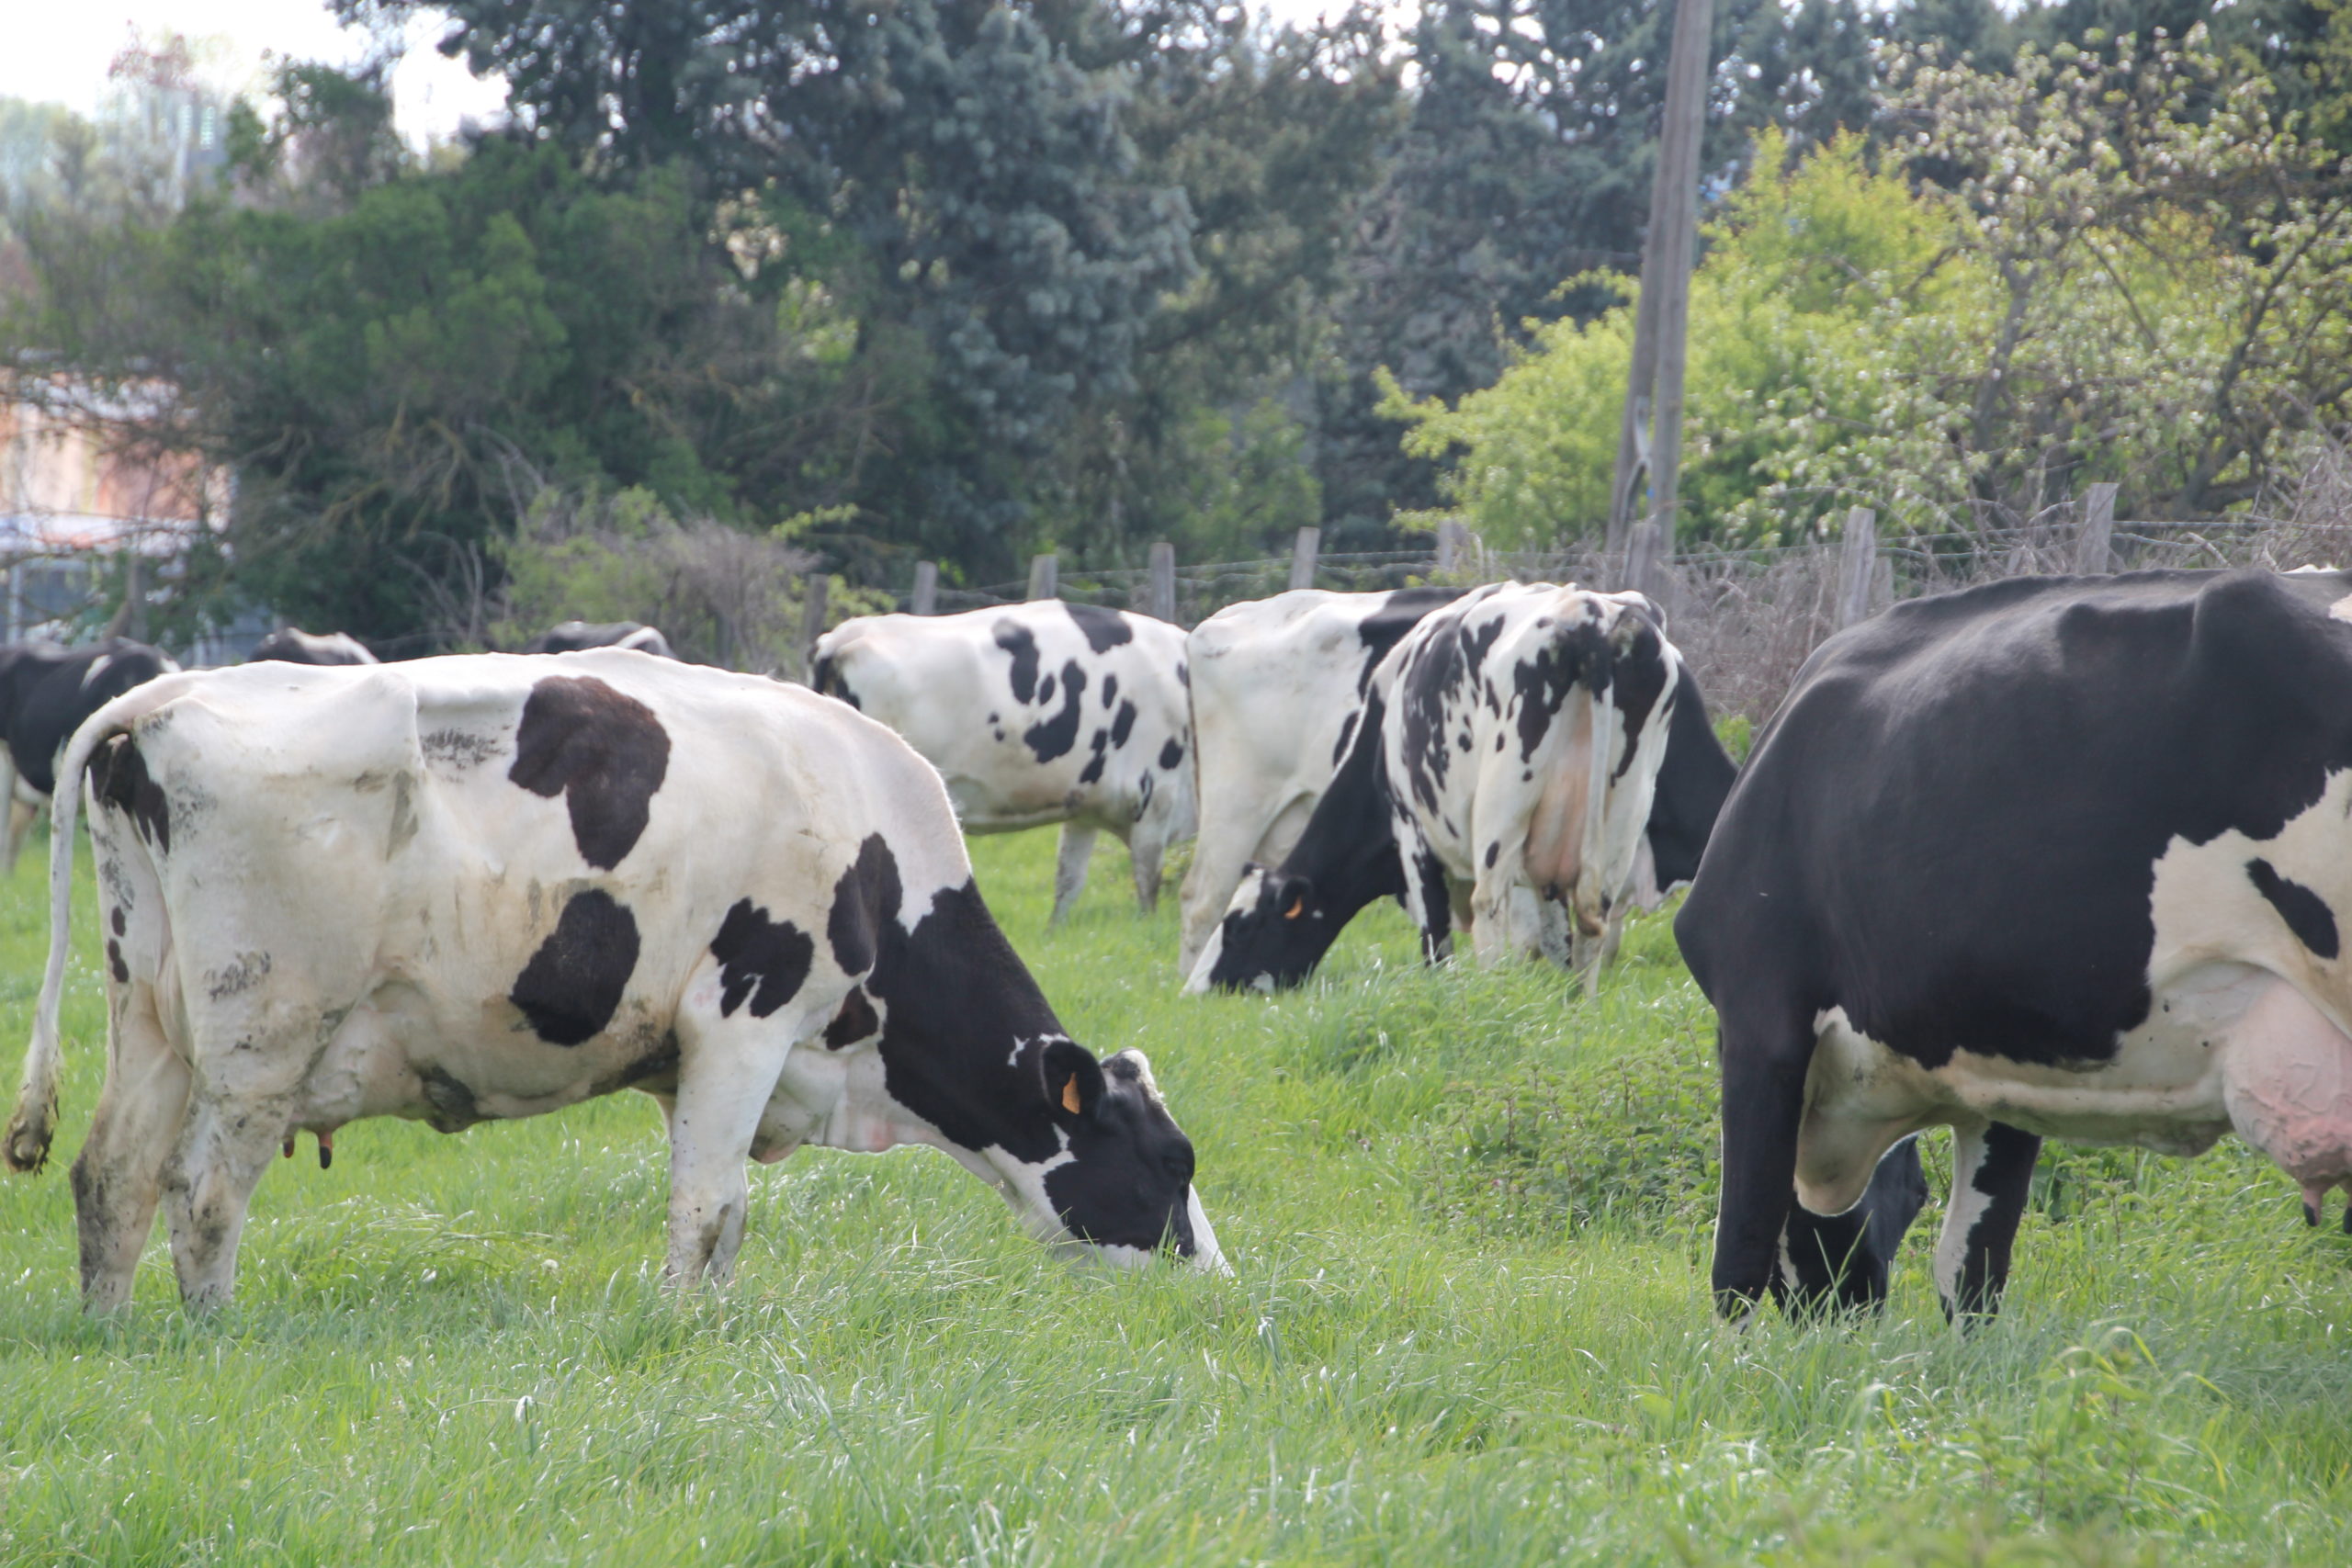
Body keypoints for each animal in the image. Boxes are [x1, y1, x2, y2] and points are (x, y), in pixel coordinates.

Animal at [813, 602, 1198, 924]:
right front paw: (1146, 925)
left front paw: (1054, 931)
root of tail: (849, 632)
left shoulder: (1085, 806)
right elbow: (1148, 883)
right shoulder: (1157, 797)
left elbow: (1069, 881)